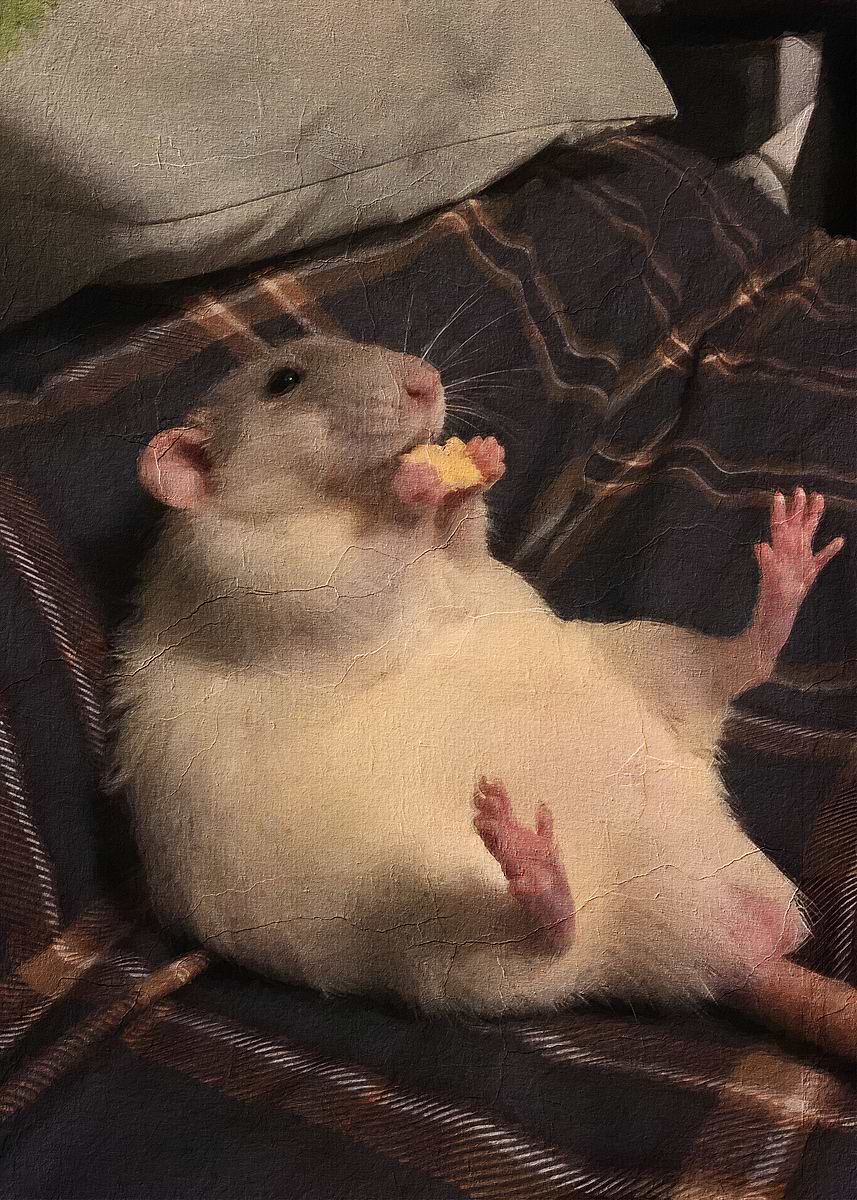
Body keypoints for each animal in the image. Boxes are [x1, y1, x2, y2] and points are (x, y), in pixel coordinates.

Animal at [112, 335, 850, 1041]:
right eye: (284, 381)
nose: (424, 381)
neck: (347, 503)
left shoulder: (457, 569)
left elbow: (464, 550)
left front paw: (466, 484)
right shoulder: (242, 578)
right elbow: (347, 593)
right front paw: (415, 500)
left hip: (645, 658)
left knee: (729, 670)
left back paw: (779, 593)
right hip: (442, 947)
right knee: (541, 945)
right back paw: (536, 875)